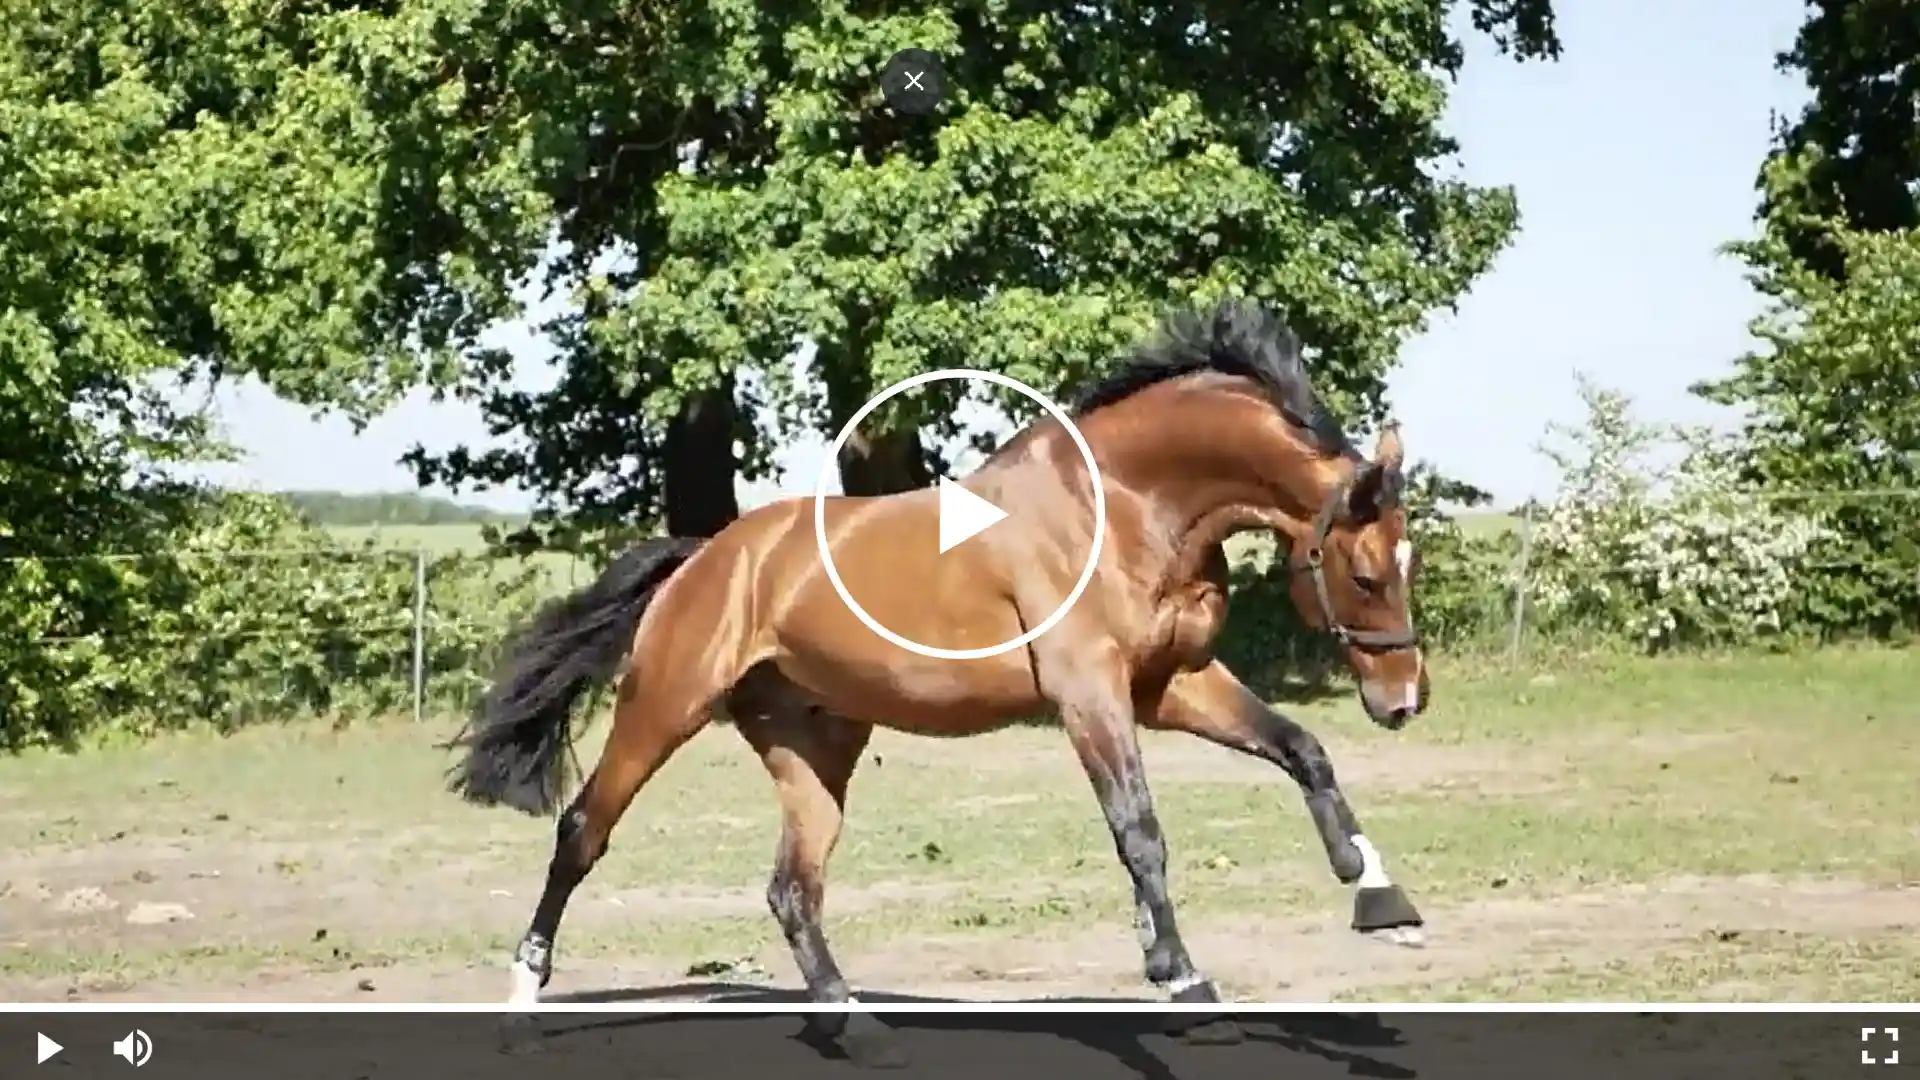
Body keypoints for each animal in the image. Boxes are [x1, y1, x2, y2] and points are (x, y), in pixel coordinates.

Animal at [449, 299, 1429, 1061]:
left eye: (1407, 564)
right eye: (1366, 574)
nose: (1404, 702)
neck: (1124, 506)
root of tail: (707, 557)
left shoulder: (1168, 683)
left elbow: (1301, 749)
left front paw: (1377, 892)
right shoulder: (1091, 695)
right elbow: (1140, 832)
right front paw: (1185, 982)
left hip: (816, 743)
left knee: (791, 887)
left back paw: (852, 1023)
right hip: (663, 707)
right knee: (583, 834)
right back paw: (521, 1007)